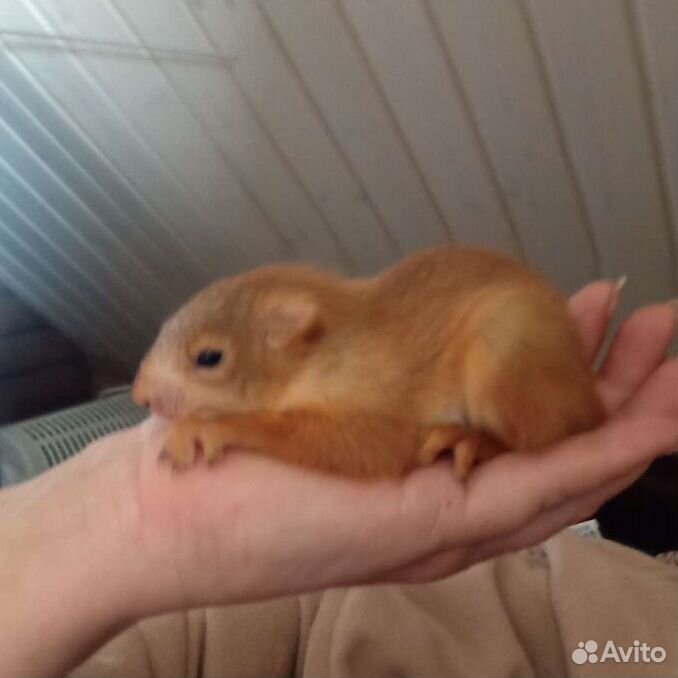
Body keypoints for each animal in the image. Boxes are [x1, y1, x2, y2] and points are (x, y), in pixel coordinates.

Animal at [132, 246, 603, 479]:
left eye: (209, 358)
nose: (140, 397)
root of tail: (588, 396)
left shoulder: (374, 399)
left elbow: (361, 444)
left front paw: (204, 428)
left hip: (502, 358)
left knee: (534, 435)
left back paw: (467, 440)